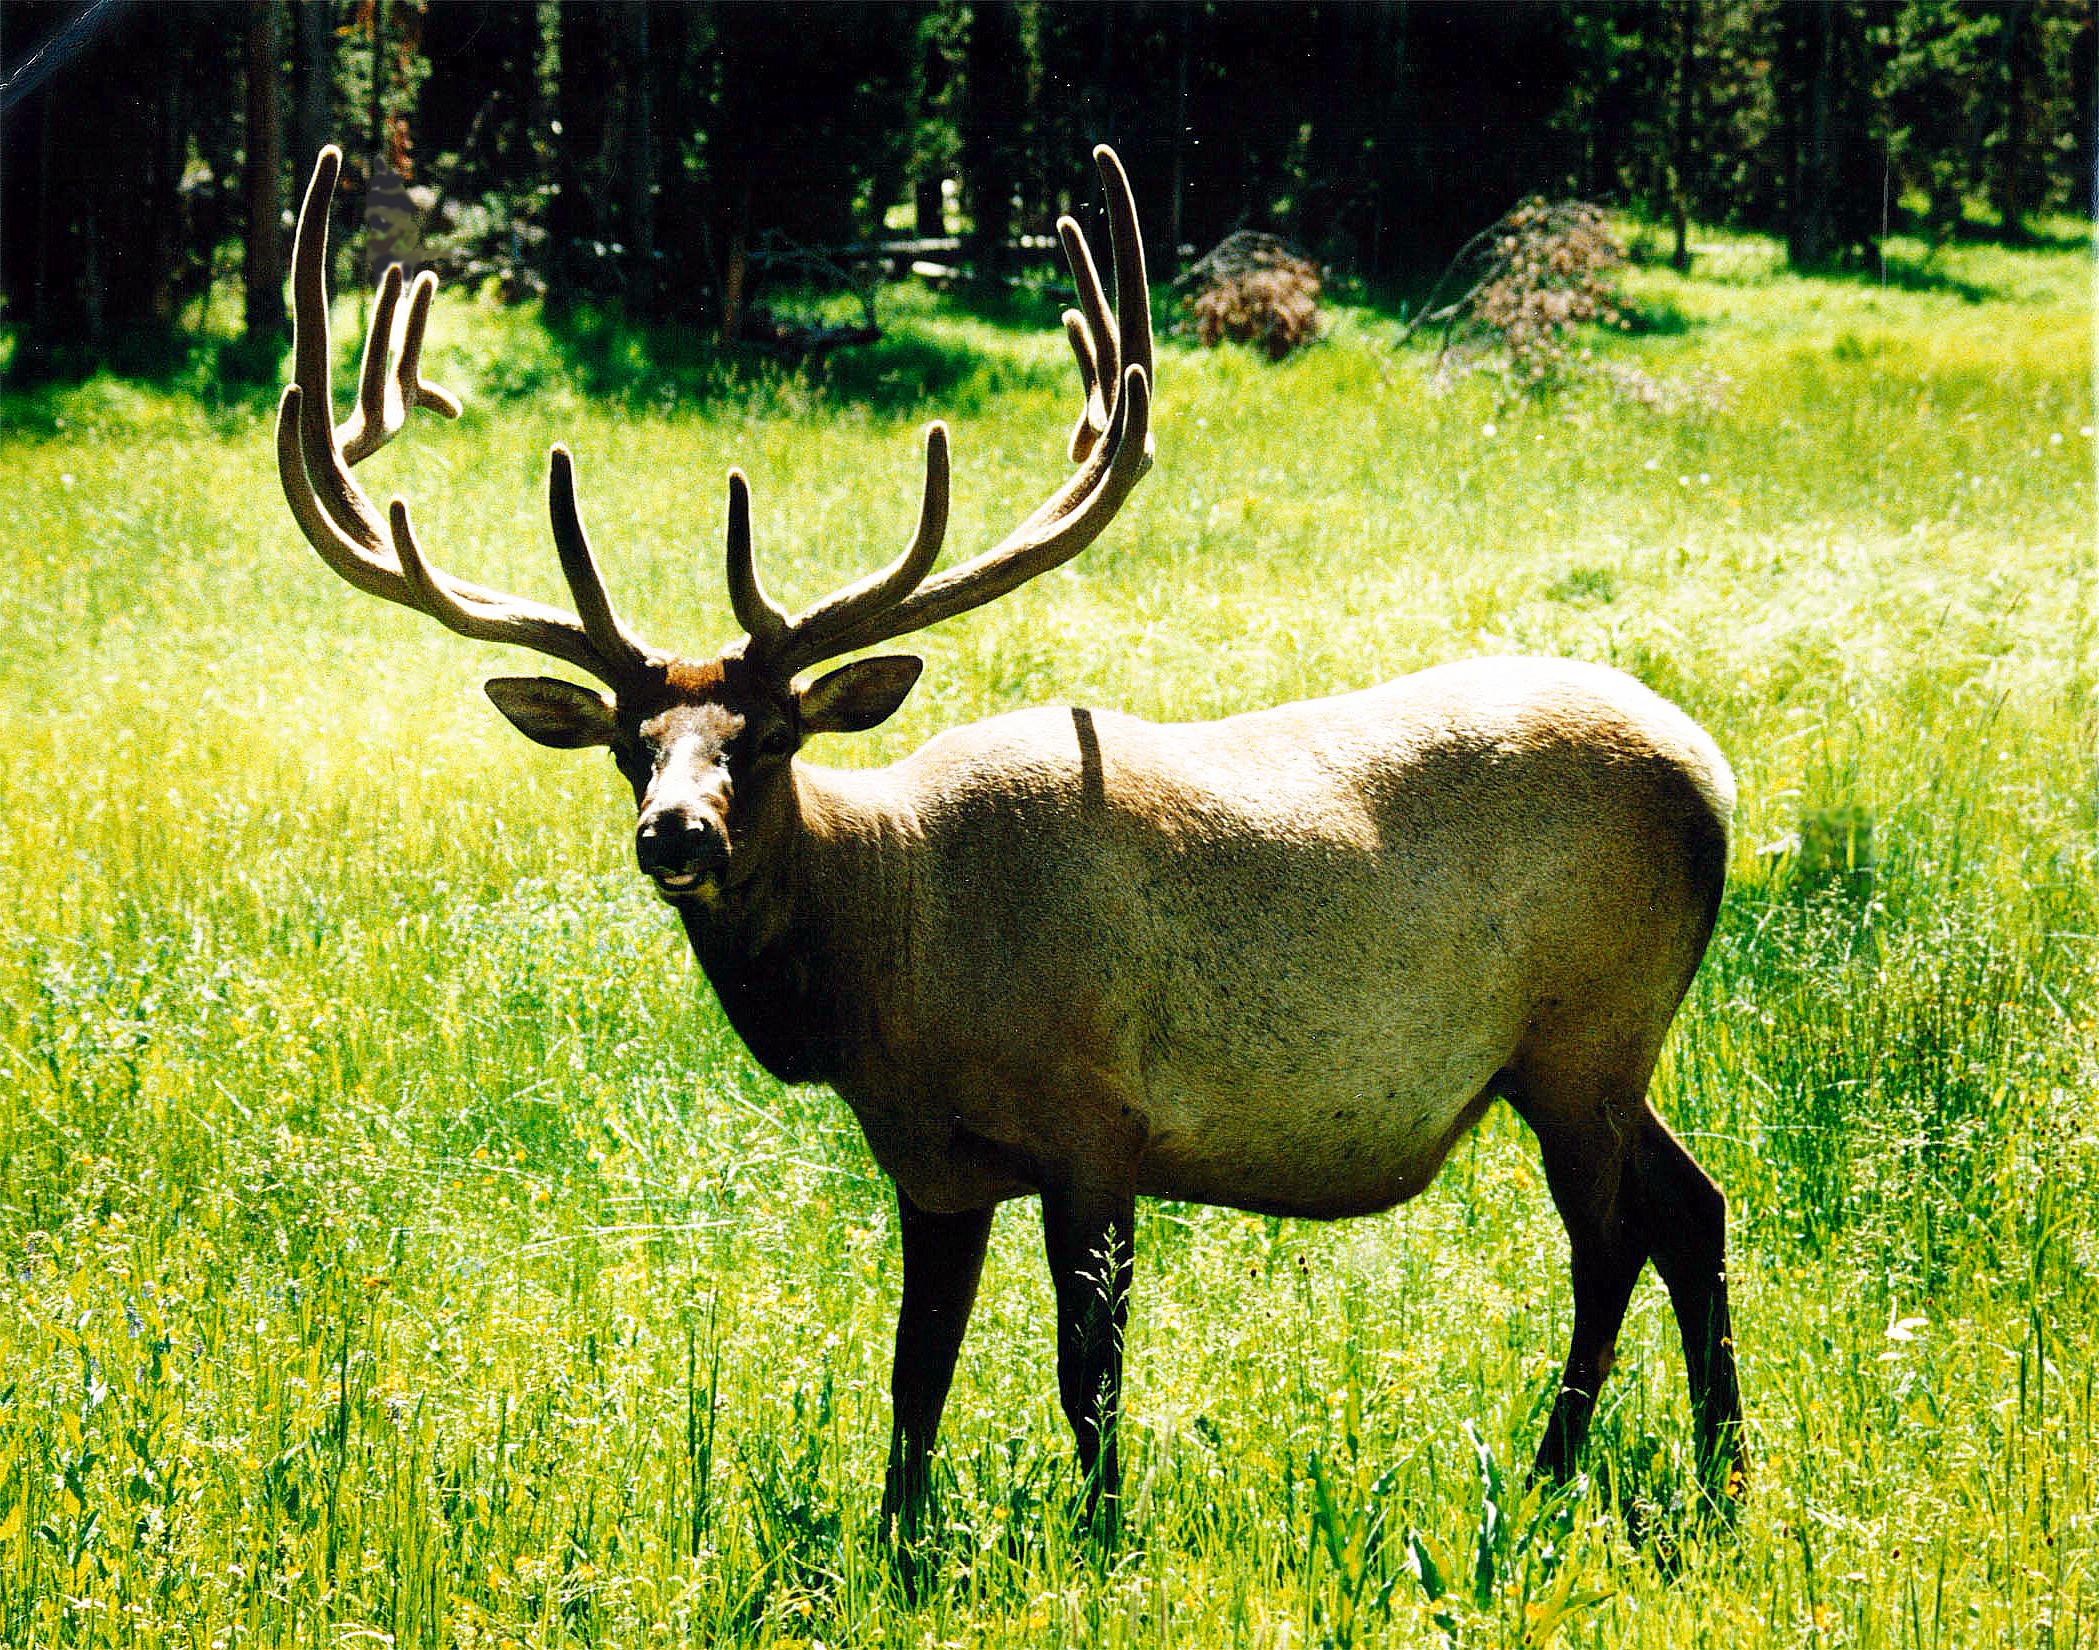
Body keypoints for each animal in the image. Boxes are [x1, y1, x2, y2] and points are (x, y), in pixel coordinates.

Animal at [276, 143, 1745, 1540]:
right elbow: (913, 1372)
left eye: (767, 738)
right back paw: (1708, 1473)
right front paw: (897, 1541)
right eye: (631, 746)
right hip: (1588, 1053)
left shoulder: (1097, 1122)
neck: (894, 968)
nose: (672, 833)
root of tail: (1716, 778)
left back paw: (1573, 1473)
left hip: (1581, 1031)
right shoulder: (932, 1167)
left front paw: (1098, 1537)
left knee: (1617, 1235)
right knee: (1691, 1208)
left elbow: (1084, 1371)